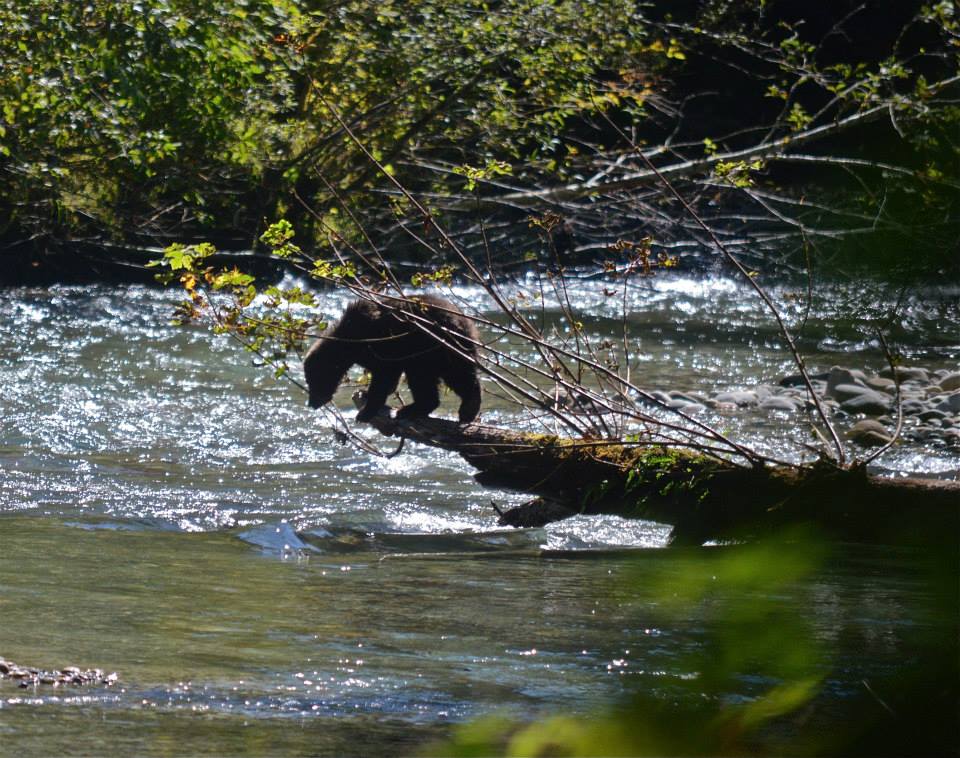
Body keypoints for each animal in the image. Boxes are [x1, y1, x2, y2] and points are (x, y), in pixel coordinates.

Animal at [303, 293, 482, 423]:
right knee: (458, 375)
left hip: (430, 350)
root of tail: (466, 324)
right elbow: (389, 377)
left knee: (430, 377)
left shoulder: (380, 345)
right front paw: (366, 393)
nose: (312, 403)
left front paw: (365, 412)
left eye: (314, 380)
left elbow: (383, 377)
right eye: (310, 381)